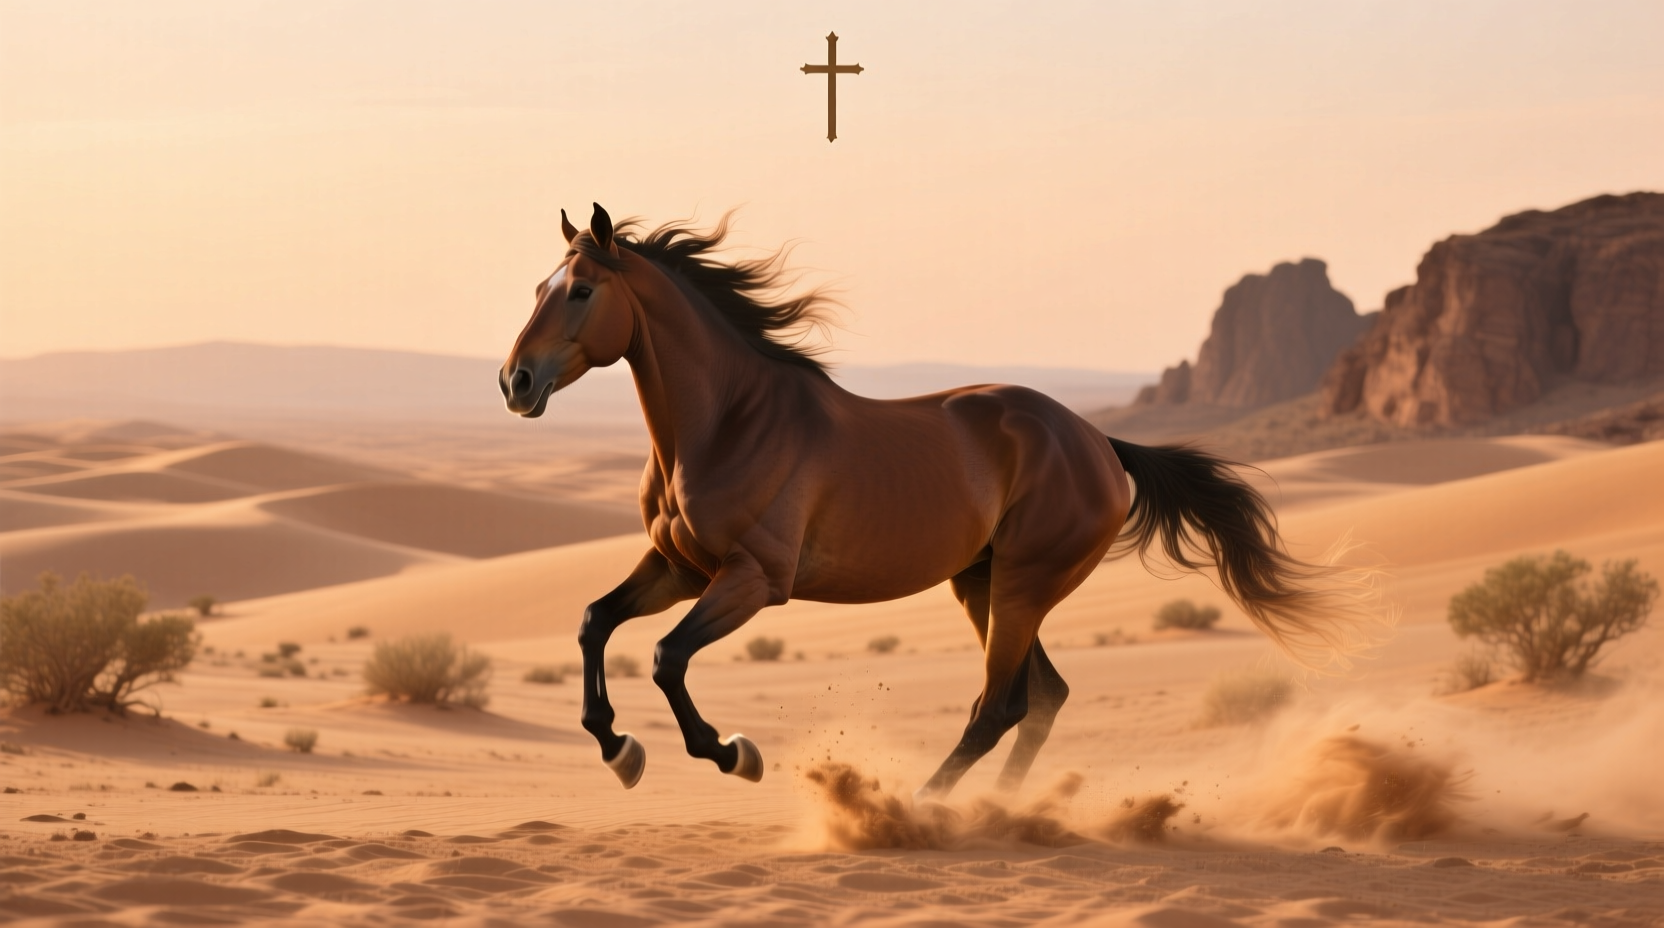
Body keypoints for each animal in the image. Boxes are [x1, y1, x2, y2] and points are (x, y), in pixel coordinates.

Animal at [500, 204, 1375, 798]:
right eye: (540, 286)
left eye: (579, 291)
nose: (515, 382)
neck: (728, 423)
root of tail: (1097, 441)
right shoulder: (679, 567)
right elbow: (595, 623)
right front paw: (619, 750)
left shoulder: (752, 580)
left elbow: (666, 658)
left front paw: (733, 754)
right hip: (982, 582)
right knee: (1041, 698)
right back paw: (999, 812)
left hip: (1022, 583)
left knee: (1000, 703)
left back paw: (928, 807)